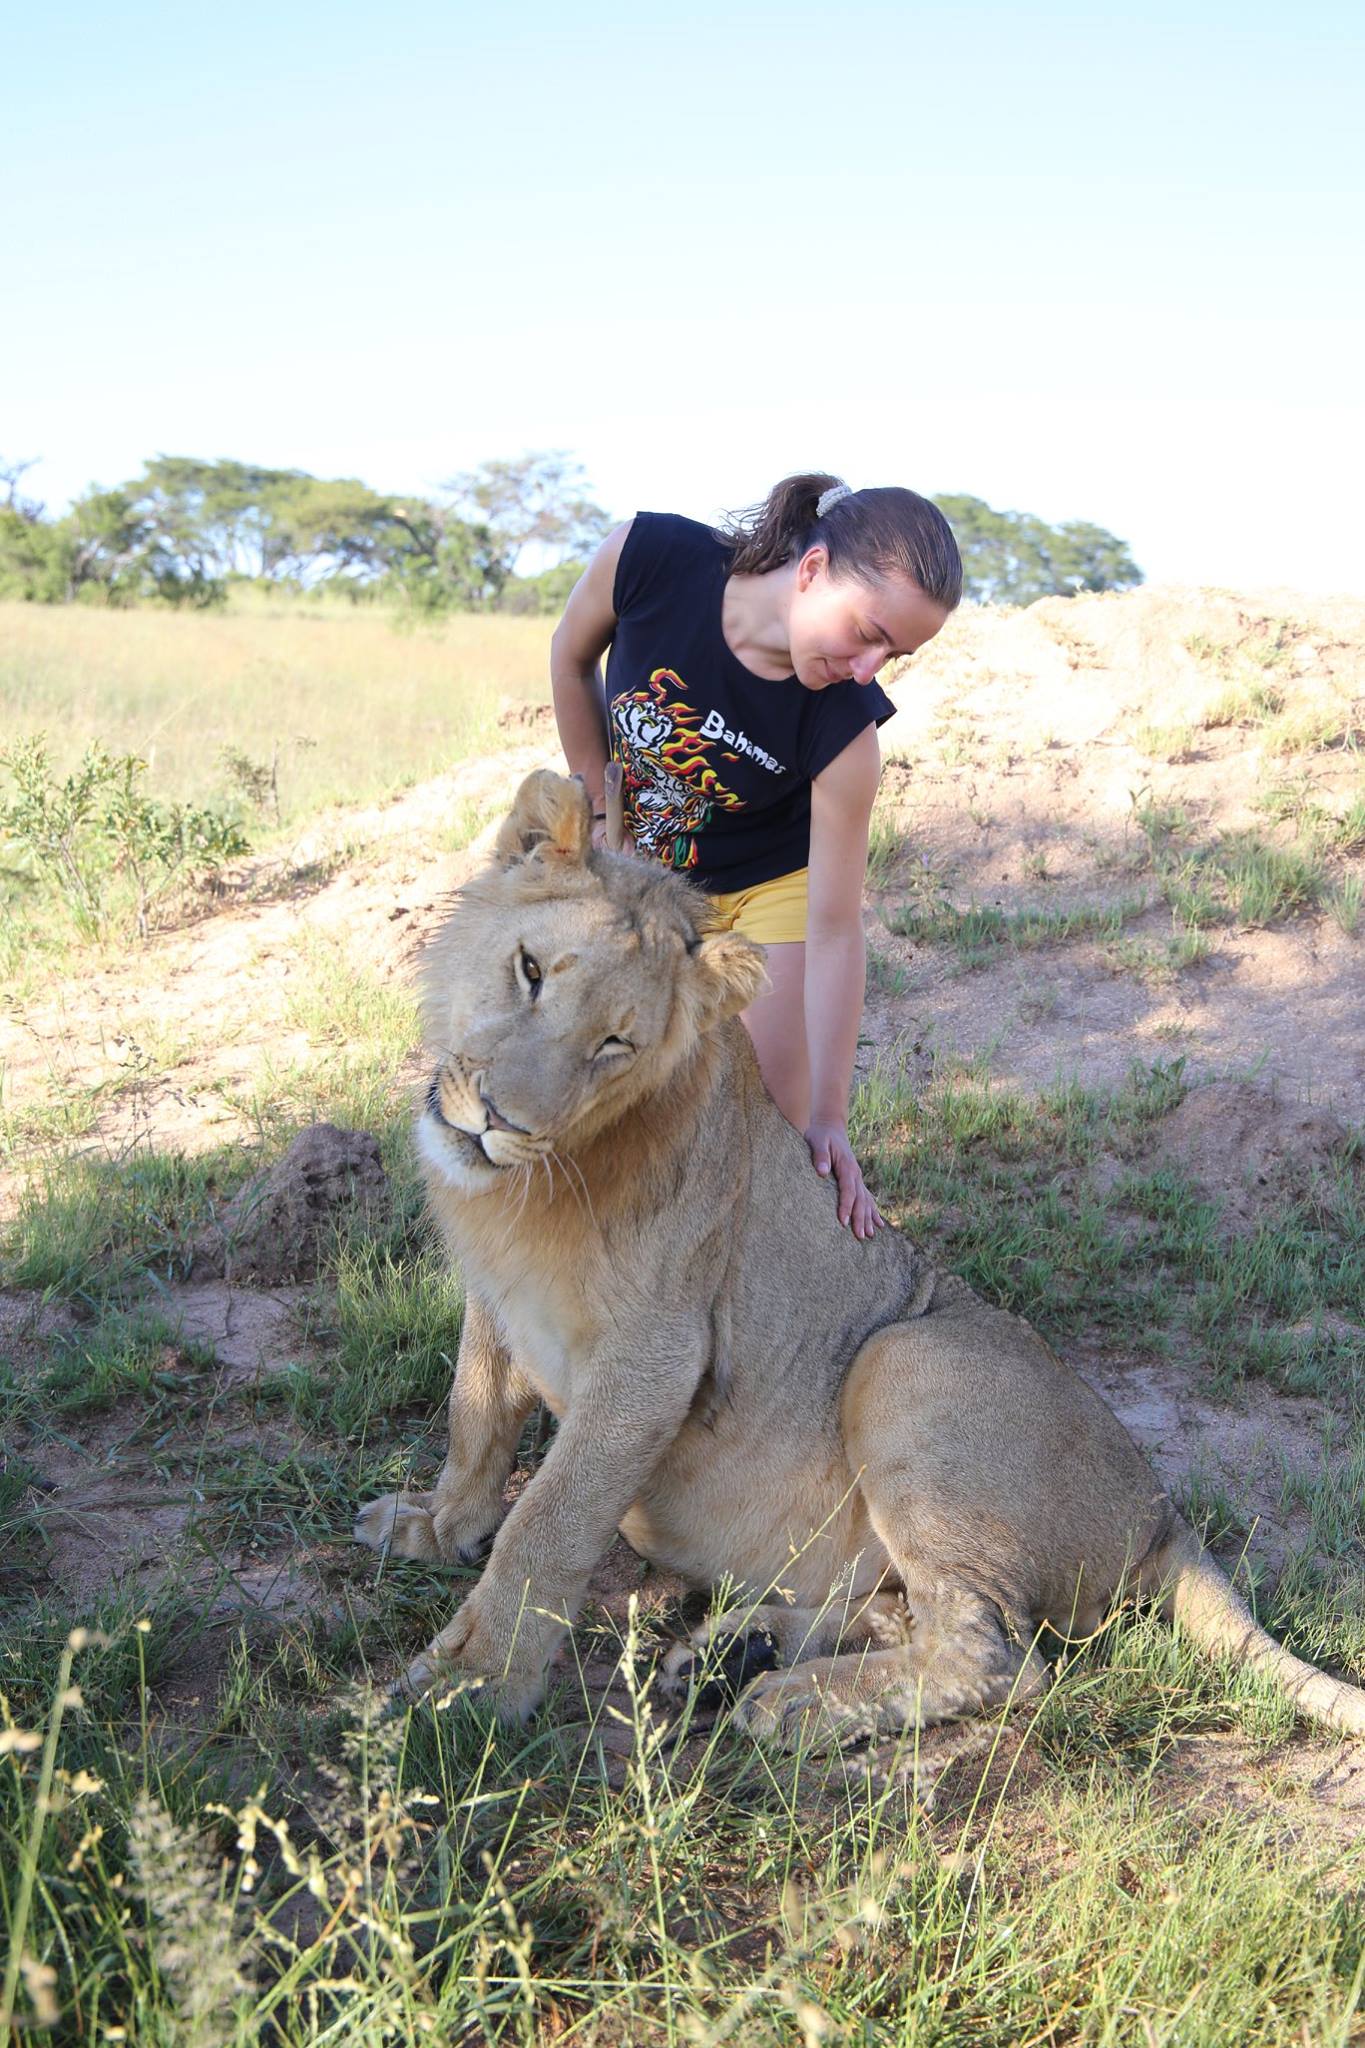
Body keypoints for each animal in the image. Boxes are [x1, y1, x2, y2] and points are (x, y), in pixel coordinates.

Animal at [355, 770, 1365, 1749]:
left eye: (615, 1044)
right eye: (529, 971)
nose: (498, 1122)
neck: (523, 1189)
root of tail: (1163, 1513)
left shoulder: (656, 1351)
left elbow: (550, 1520)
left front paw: (467, 1689)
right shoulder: (497, 1297)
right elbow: (475, 1415)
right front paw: (436, 1526)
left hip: (904, 1360)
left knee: (997, 1654)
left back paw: (788, 1703)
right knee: (909, 1611)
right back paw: (734, 1654)